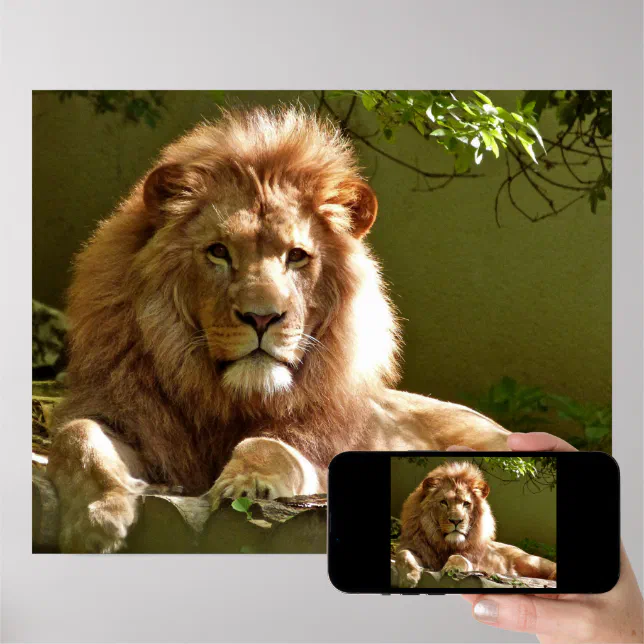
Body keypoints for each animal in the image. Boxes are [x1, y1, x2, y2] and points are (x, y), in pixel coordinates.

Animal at [46, 106, 510, 553]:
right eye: (219, 252)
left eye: (297, 255)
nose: (262, 317)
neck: (228, 400)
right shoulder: (129, 417)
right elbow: (77, 435)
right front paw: (98, 516)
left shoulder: (322, 452)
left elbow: (270, 447)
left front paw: (247, 481)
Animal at [394, 461, 556, 587]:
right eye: (444, 502)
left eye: (466, 503)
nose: (456, 521)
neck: (445, 544)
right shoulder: (420, 551)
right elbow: (403, 554)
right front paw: (409, 576)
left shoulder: (477, 564)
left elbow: (459, 558)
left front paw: (452, 568)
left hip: (530, 561)